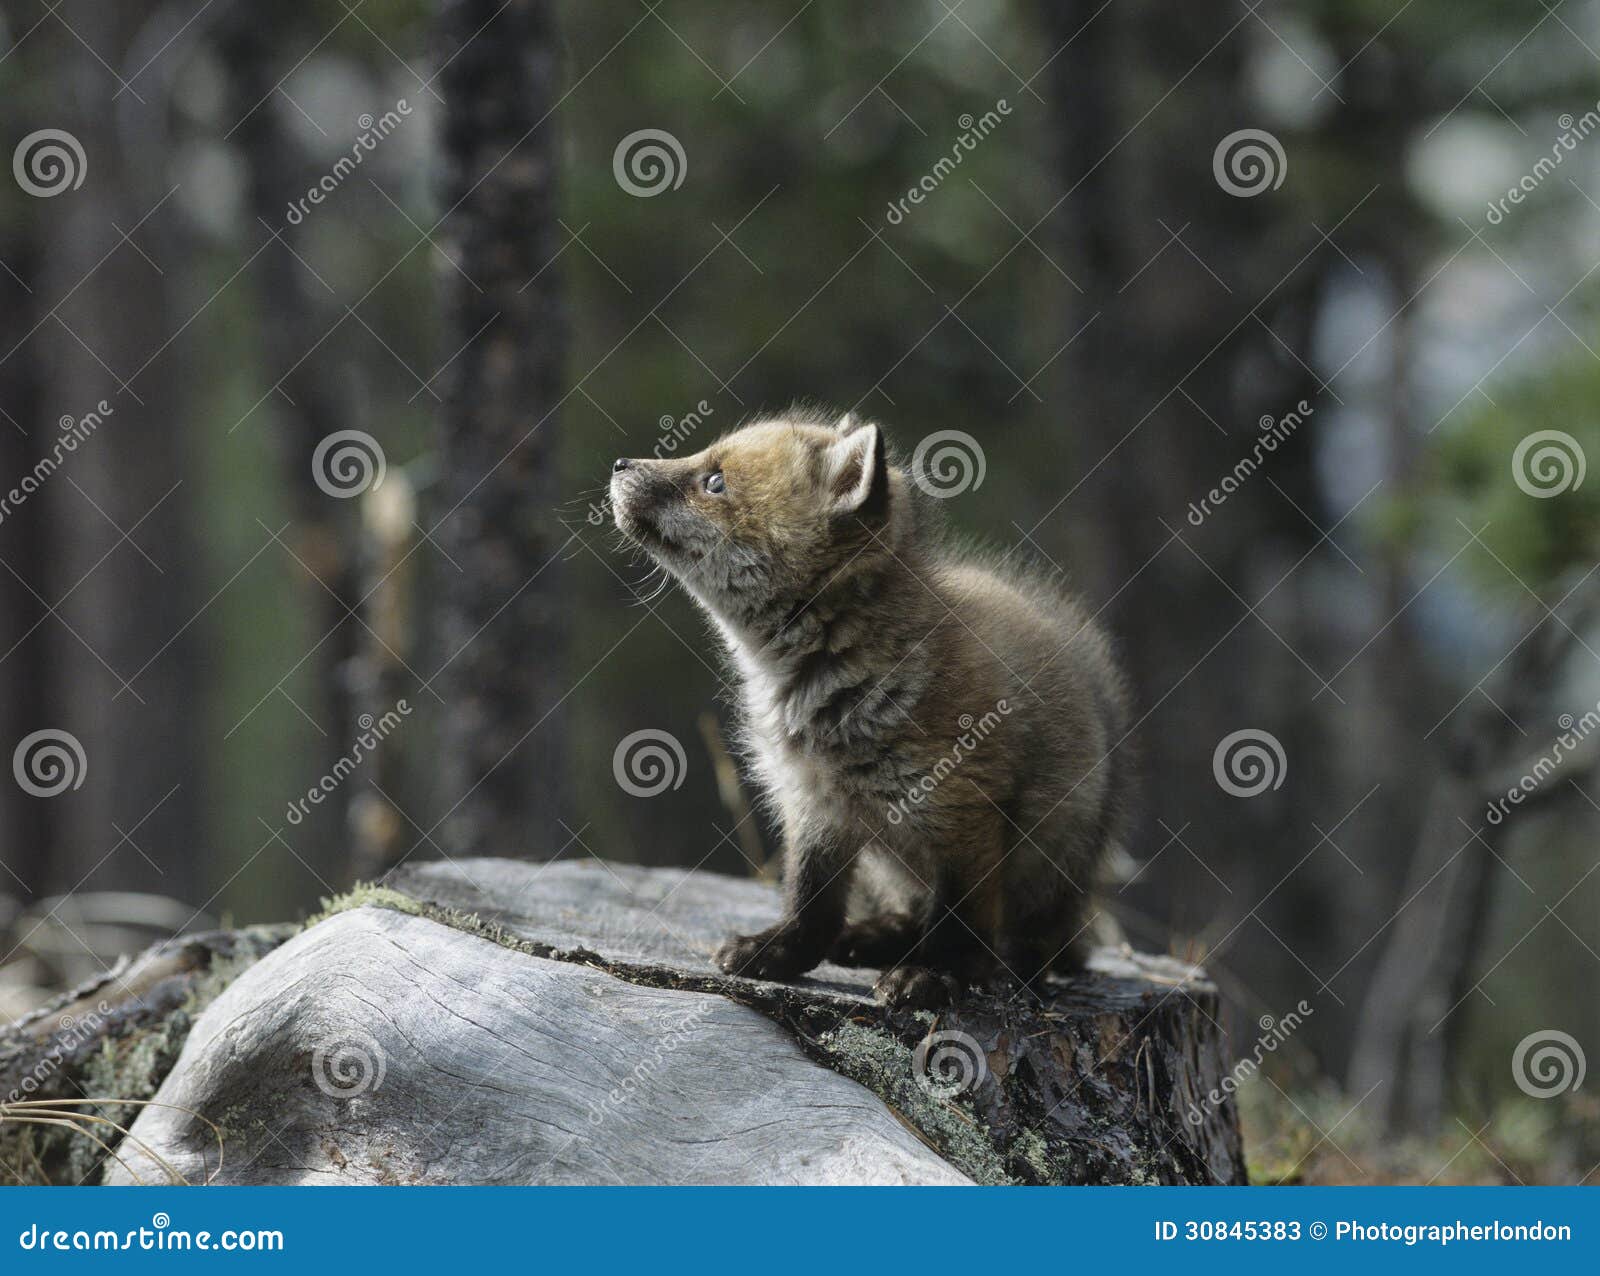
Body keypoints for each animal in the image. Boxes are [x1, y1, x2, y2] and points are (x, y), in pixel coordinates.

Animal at [608, 408, 1134, 1008]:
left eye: (714, 482)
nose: (619, 463)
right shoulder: (816, 806)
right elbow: (810, 902)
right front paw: (781, 952)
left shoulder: (962, 812)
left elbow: (958, 920)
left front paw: (936, 974)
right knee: (914, 914)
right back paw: (878, 936)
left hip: (1050, 869)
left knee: (1029, 946)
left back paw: (993, 962)